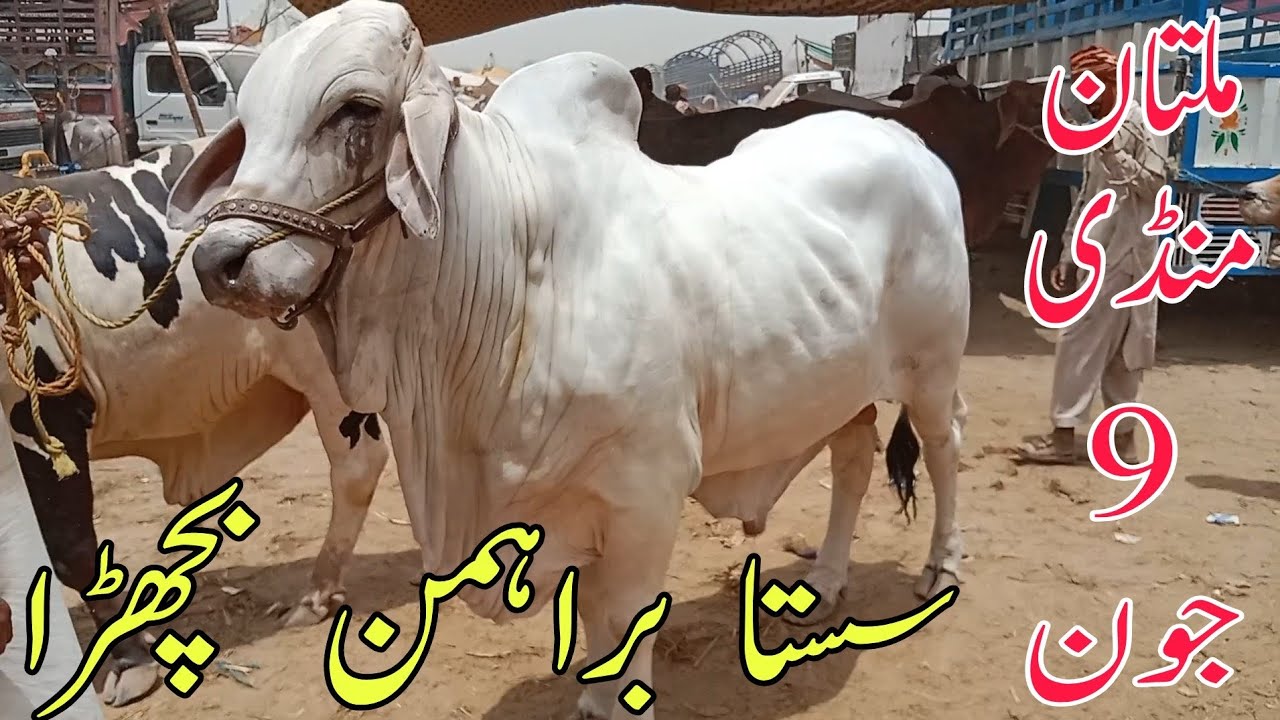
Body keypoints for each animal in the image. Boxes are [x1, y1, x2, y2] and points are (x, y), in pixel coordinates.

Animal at [0, 138, 390, 707]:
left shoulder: (45, 417)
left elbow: (73, 550)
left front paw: (129, 660)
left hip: (327, 374)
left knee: (358, 467)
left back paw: (318, 592)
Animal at [176, 3, 970, 718]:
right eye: (249, 122)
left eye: (356, 110)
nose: (218, 262)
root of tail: (905, 138)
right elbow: (593, 615)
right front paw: (592, 695)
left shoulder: (646, 493)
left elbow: (625, 611)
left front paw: (623, 701)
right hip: (840, 383)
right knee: (855, 460)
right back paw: (829, 578)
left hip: (933, 369)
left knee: (943, 450)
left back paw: (941, 566)